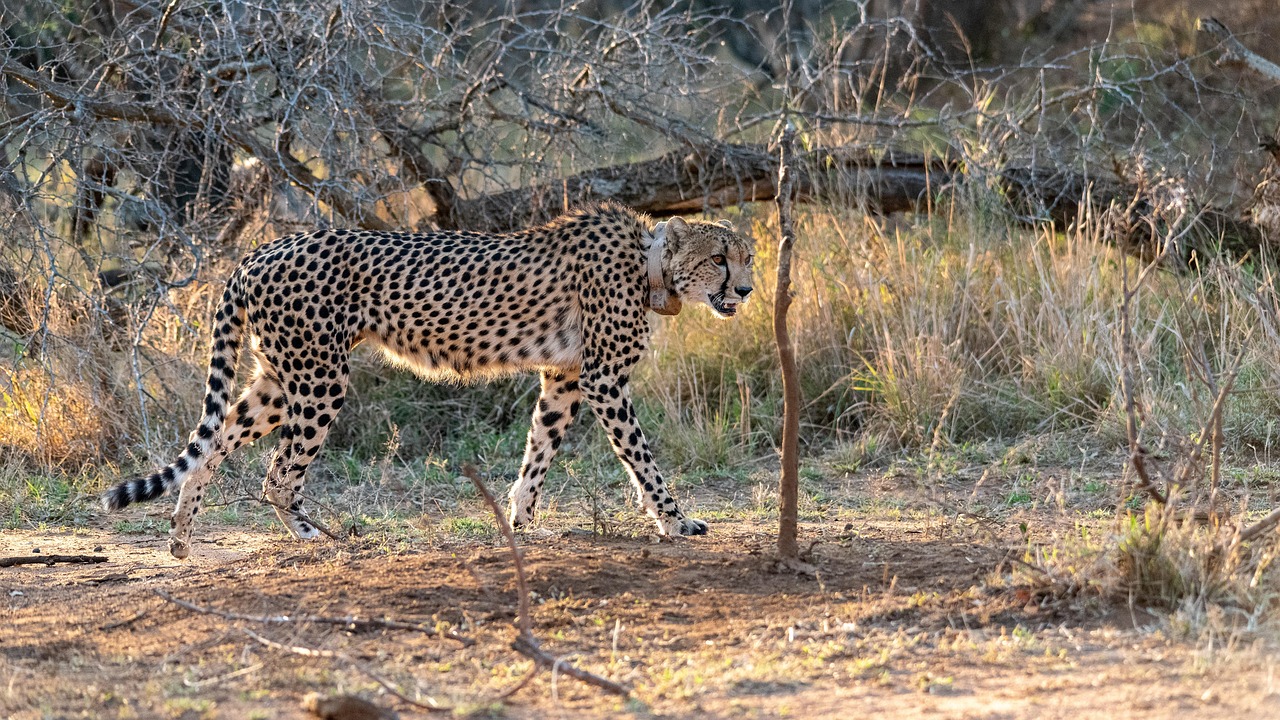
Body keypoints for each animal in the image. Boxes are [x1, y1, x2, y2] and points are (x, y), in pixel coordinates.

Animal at [101, 202, 755, 559]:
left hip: (277, 378)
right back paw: (315, 536)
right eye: (720, 258)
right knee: (278, 472)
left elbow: (538, 450)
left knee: (212, 445)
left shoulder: (565, 378)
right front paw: (676, 520)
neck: (651, 262)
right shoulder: (603, 379)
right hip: (320, 377)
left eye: (746, 257)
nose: (748, 290)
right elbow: (641, 458)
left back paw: (181, 537)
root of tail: (258, 252)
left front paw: (520, 523)